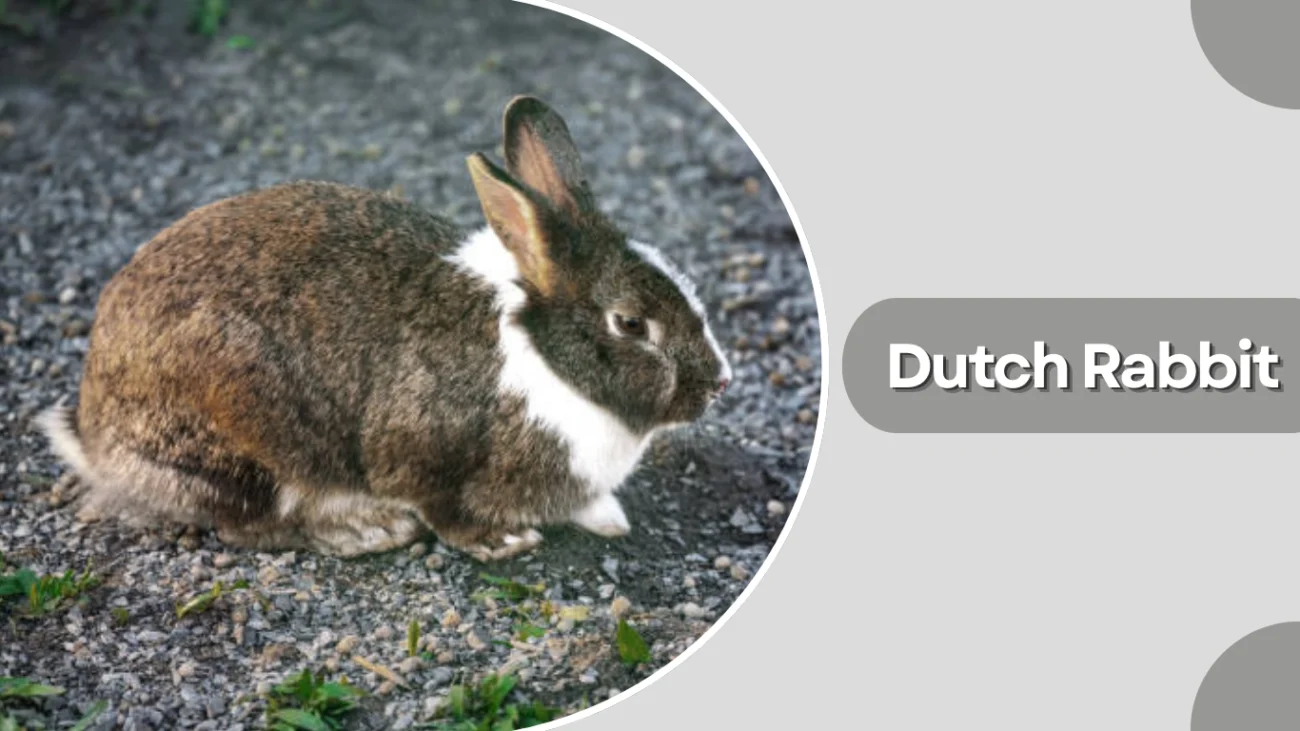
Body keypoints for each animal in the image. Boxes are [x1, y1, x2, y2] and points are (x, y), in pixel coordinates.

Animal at [36, 95, 733, 562]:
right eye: (631, 323)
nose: (720, 383)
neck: (545, 358)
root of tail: (93, 430)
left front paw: (608, 519)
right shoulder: (423, 451)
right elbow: (444, 507)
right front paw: (503, 541)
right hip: (239, 441)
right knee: (253, 522)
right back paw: (368, 530)